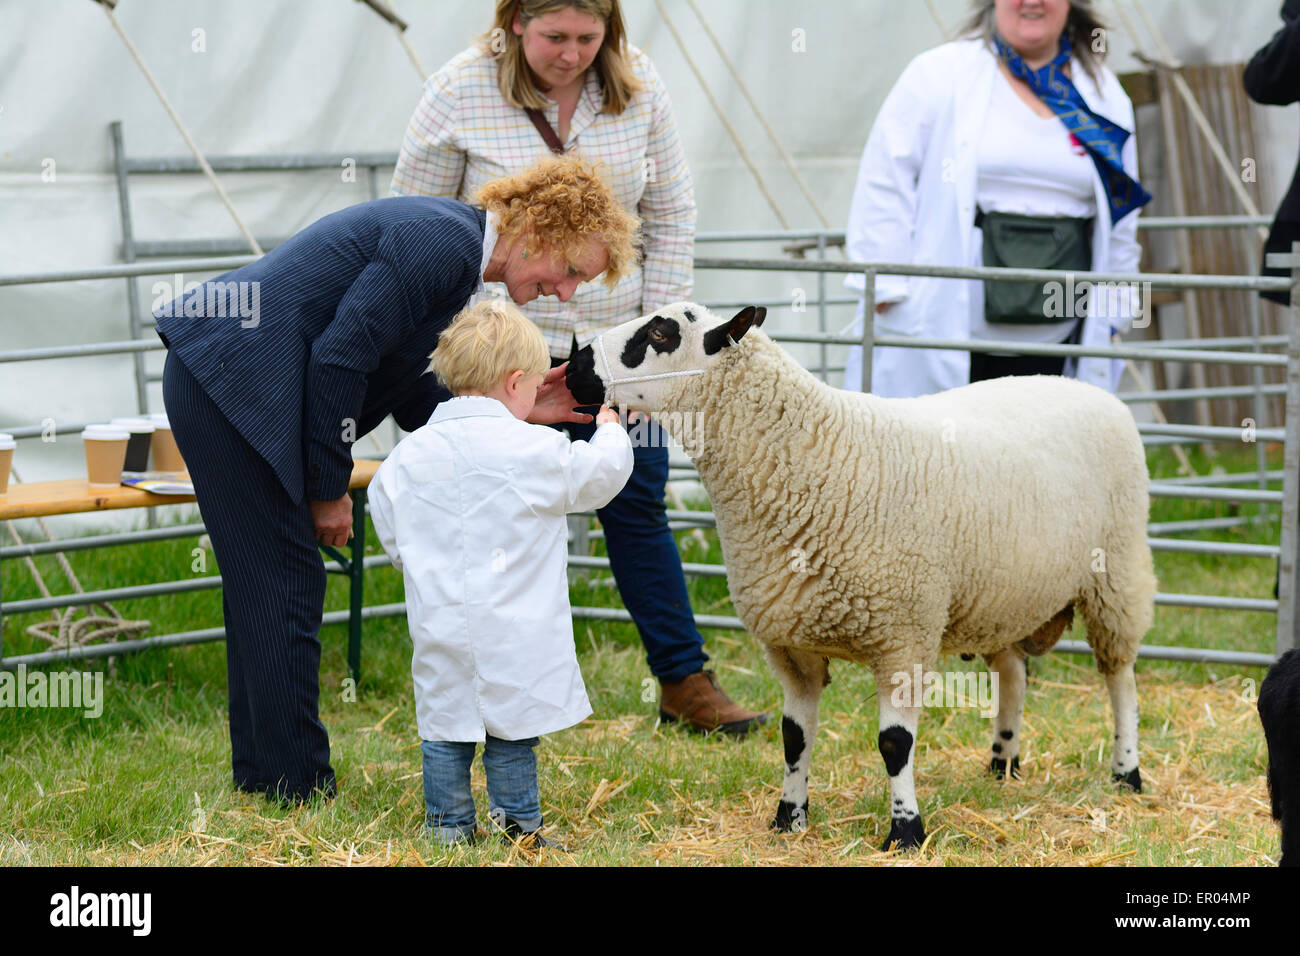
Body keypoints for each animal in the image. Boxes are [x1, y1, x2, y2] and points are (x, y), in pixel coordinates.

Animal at [567, 303, 1156, 850]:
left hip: (1116, 575)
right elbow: (794, 737)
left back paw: (1126, 772)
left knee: (1120, 679)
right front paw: (789, 819)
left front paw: (906, 831)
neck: (817, 455)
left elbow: (895, 744)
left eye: (660, 333)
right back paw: (1002, 764)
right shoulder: (791, 645)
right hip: (1001, 596)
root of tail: (1086, 389)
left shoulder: (904, 635)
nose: (573, 364)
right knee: (1012, 674)